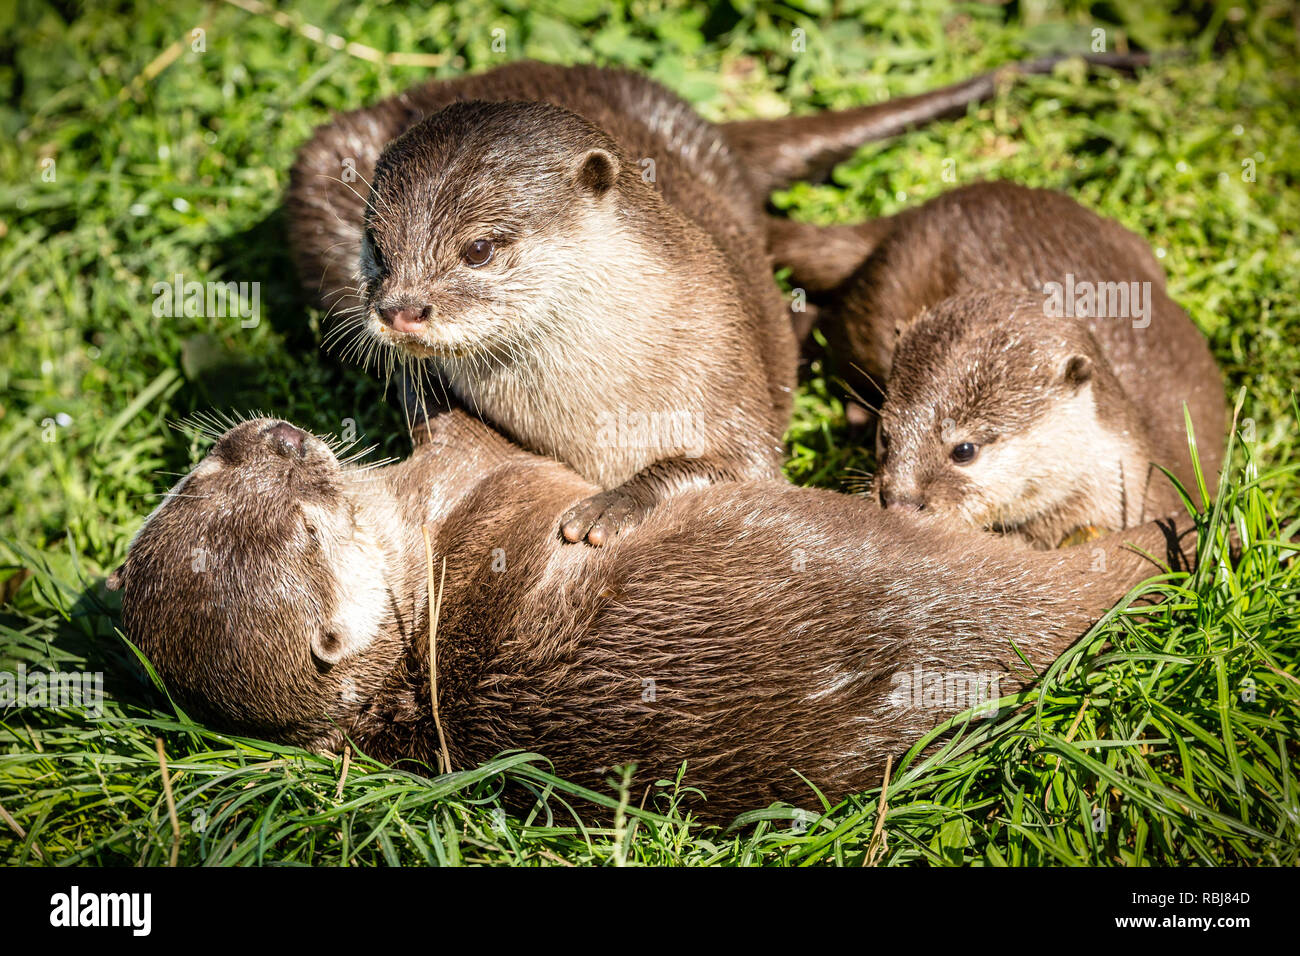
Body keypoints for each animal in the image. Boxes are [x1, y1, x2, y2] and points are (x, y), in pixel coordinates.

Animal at [288, 57, 1147, 546]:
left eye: (479, 248)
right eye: (377, 242)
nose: (401, 309)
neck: (589, 408)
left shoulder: (722, 369)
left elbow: (732, 467)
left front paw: (612, 507)